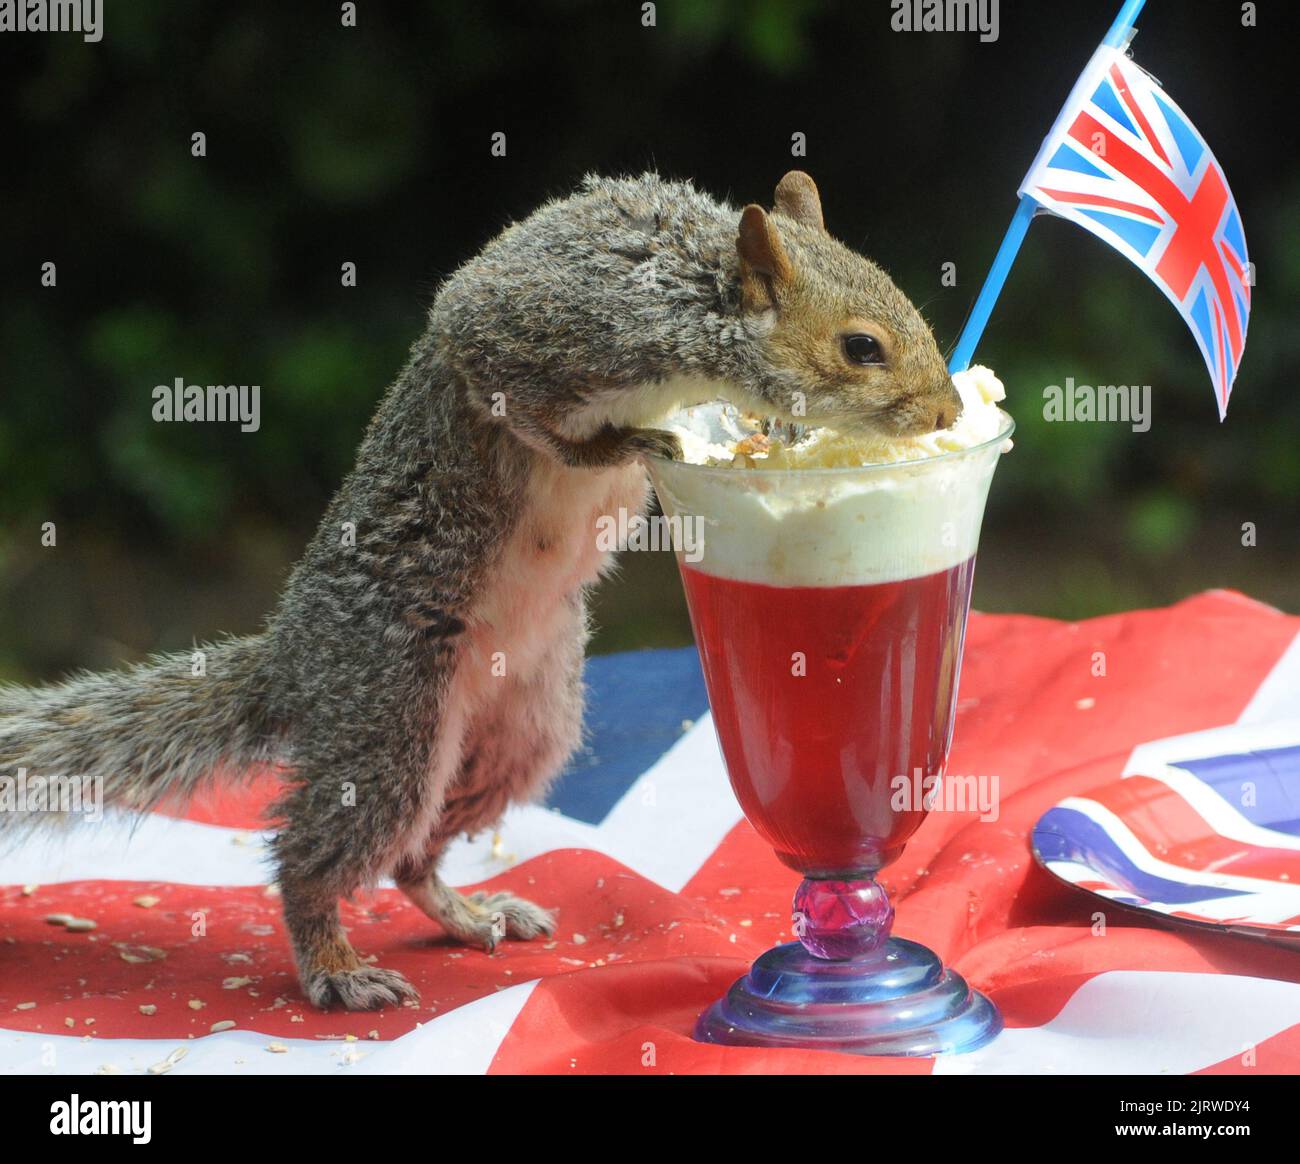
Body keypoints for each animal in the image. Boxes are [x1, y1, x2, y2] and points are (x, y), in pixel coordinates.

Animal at [1, 171, 961, 1010]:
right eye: (861, 347)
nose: (949, 415)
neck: (689, 294)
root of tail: (293, 658)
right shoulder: (534, 328)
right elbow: (525, 404)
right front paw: (628, 447)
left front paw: (764, 433)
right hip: (389, 721)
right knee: (311, 858)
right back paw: (335, 965)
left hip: (522, 729)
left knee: (413, 855)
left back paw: (469, 914)